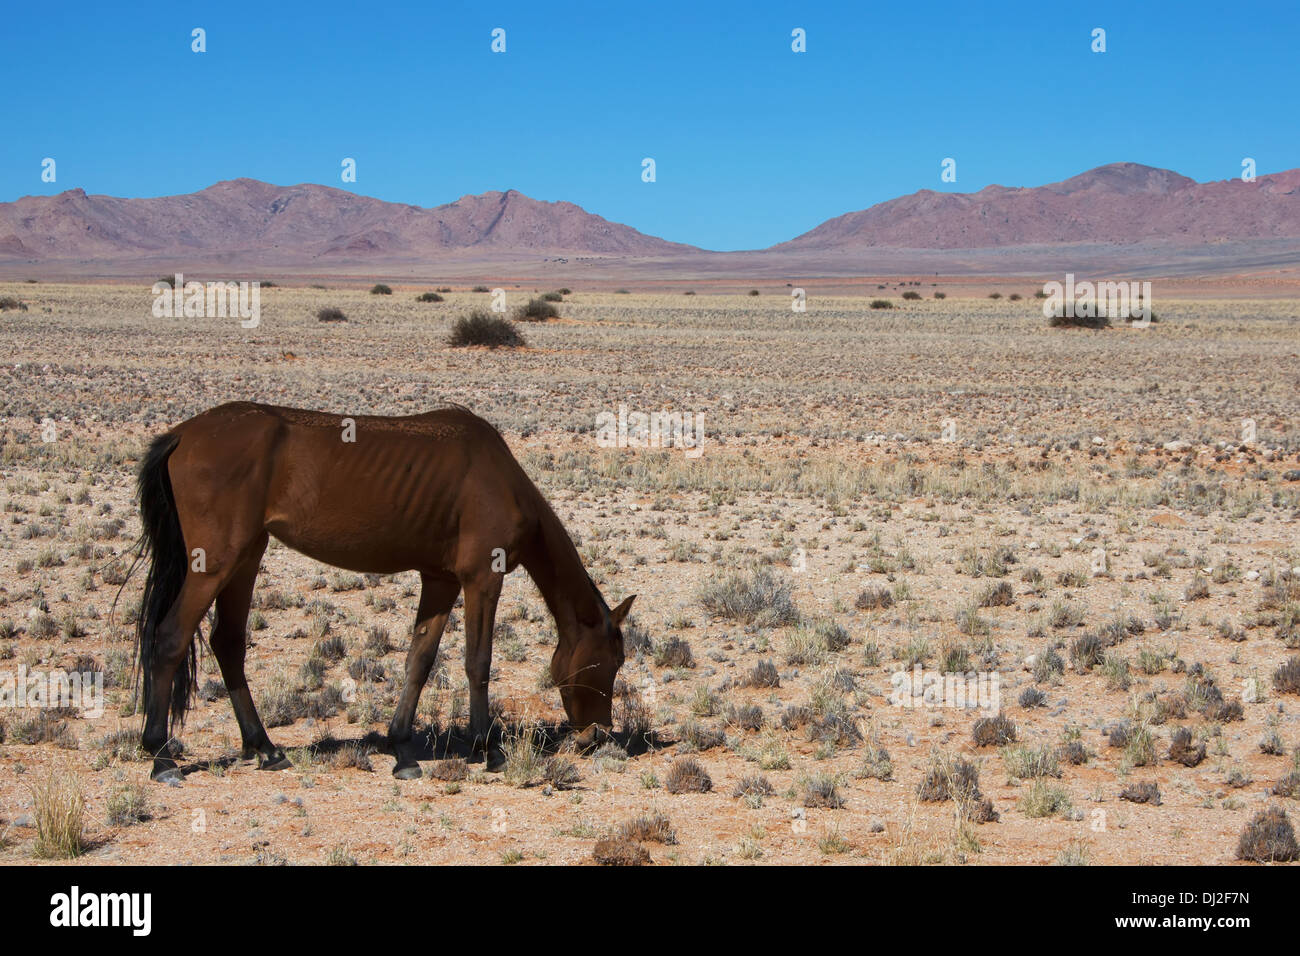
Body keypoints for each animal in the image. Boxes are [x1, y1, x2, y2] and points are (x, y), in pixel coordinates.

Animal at [128, 401, 634, 783]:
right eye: (613, 661)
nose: (596, 736)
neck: (502, 479)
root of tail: (182, 435)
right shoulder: (482, 579)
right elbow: (479, 662)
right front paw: (489, 749)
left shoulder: (441, 580)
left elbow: (419, 662)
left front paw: (403, 751)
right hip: (215, 563)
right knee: (171, 638)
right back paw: (161, 758)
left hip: (246, 557)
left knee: (228, 644)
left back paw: (266, 748)